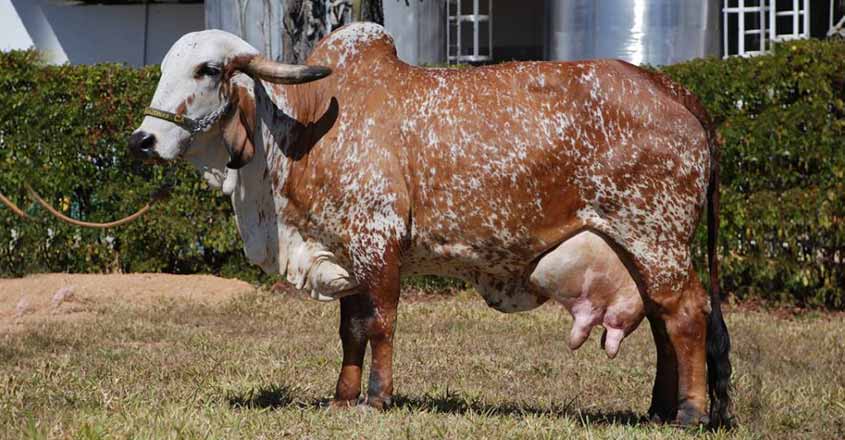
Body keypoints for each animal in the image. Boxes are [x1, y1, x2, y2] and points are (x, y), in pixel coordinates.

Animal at [128, 23, 732, 427]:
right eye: (162, 69)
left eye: (208, 70)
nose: (143, 140)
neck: (302, 129)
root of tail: (670, 90)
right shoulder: (346, 251)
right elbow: (351, 330)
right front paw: (342, 397)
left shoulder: (378, 242)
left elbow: (380, 325)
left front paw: (378, 397)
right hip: (638, 247)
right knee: (660, 320)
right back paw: (658, 410)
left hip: (655, 238)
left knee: (685, 315)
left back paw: (690, 413)